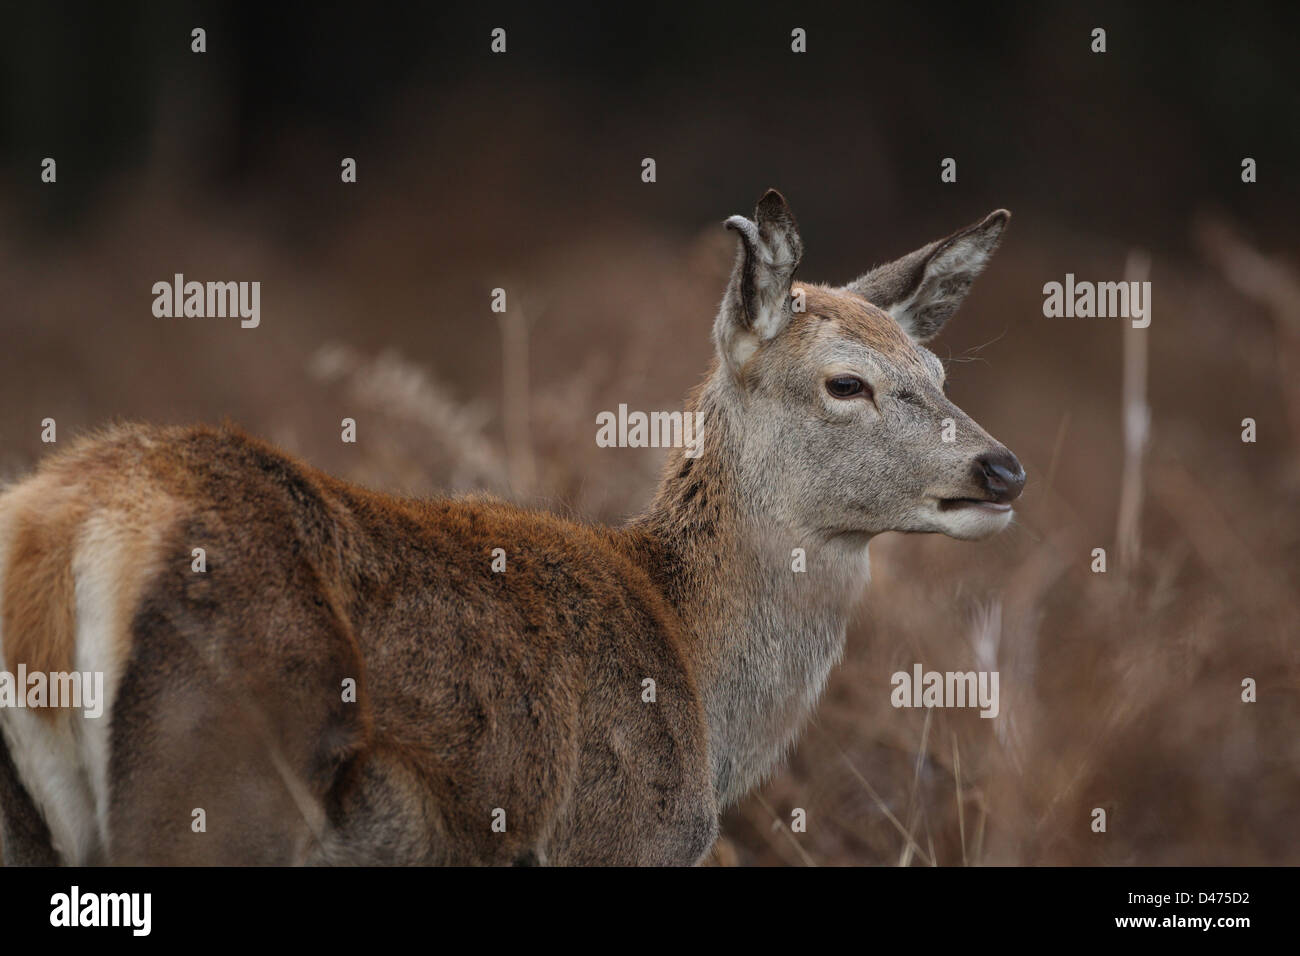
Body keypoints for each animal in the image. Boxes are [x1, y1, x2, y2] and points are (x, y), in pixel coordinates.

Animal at [0, 190, 1024, 866]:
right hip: (216, 781)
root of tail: (67, 532)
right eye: (846, 382)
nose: (1002, 469)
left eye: (938, 369)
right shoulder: (616, 837)